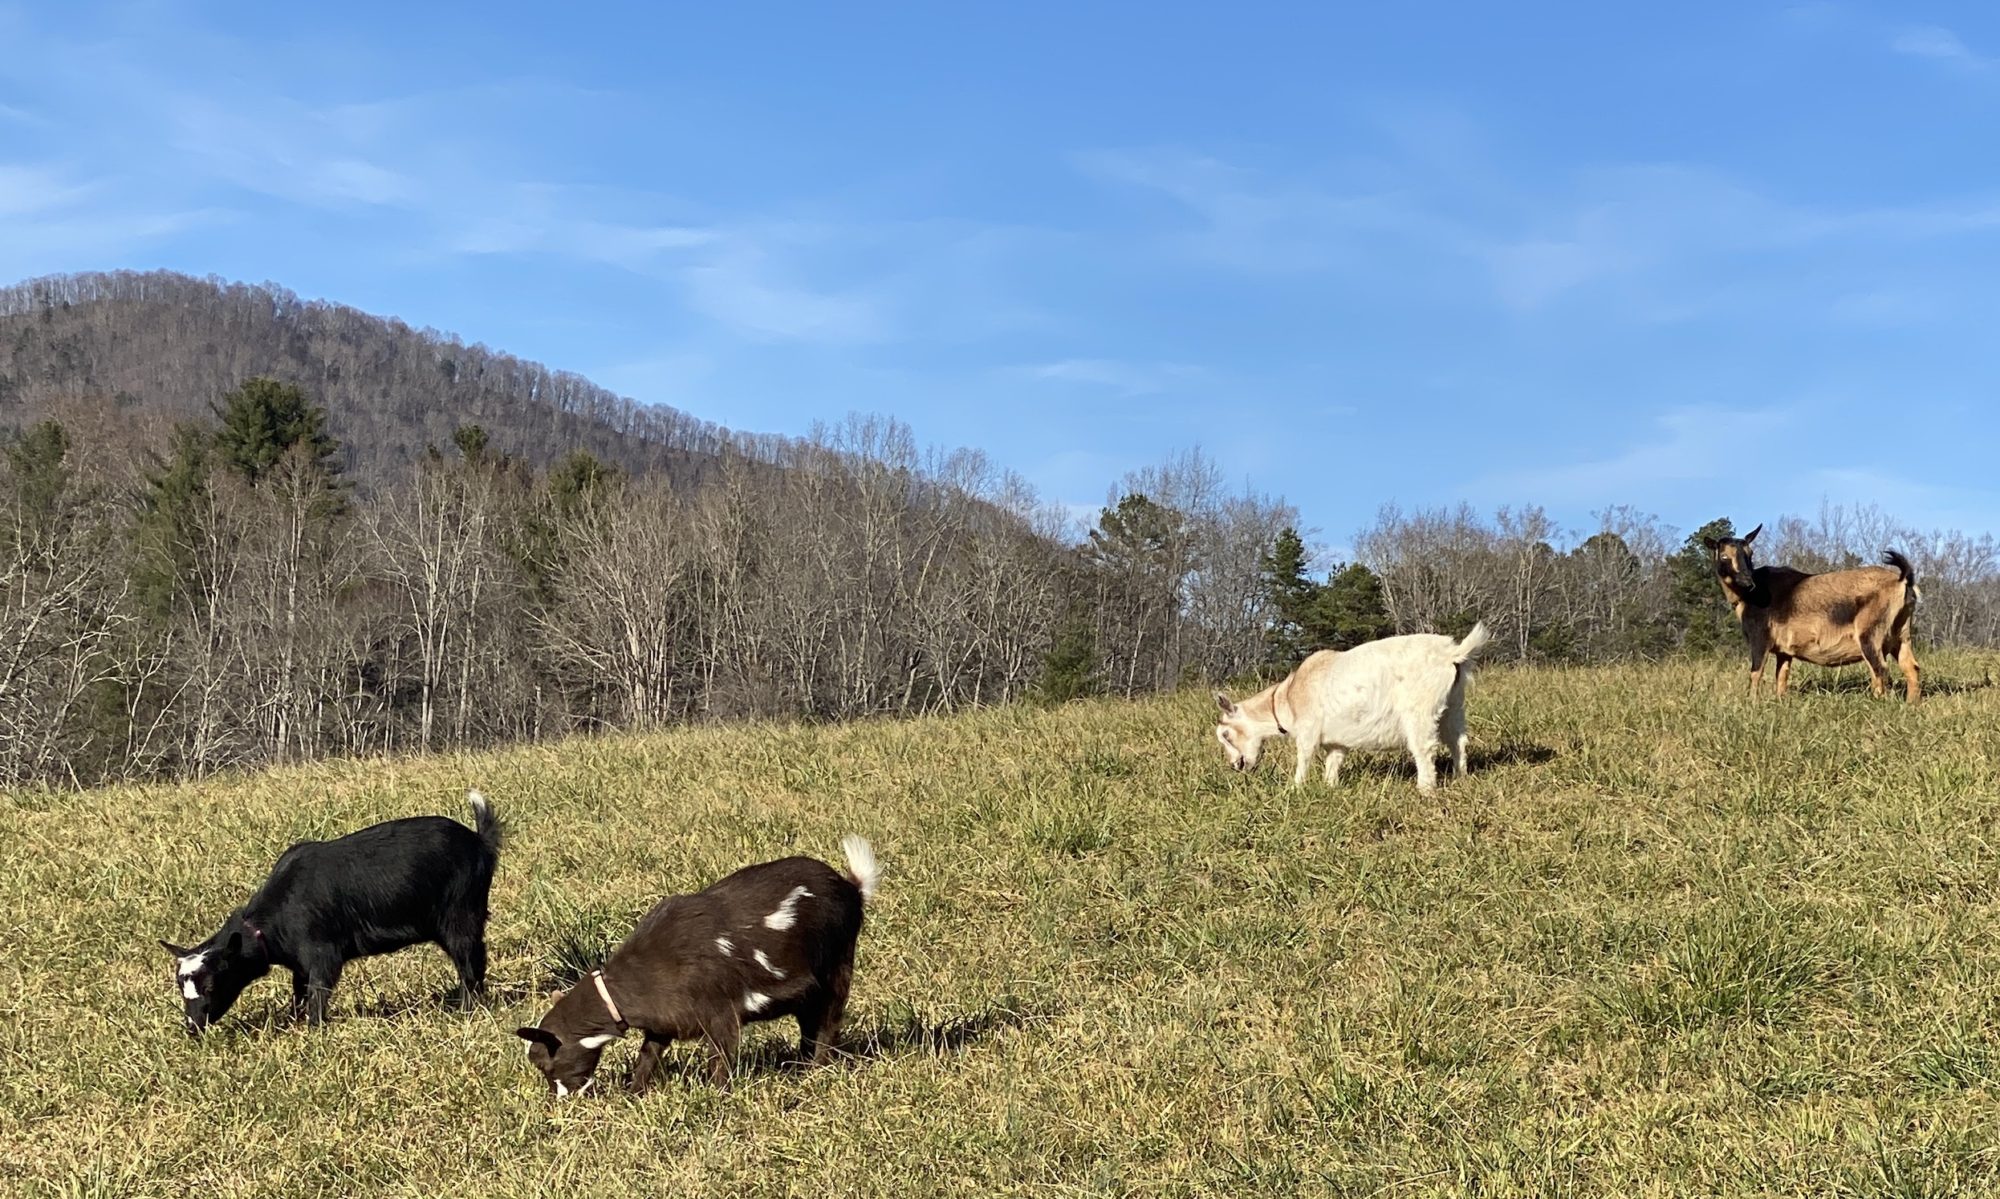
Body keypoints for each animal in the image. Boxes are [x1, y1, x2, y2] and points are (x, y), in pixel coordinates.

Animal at [160, 792, 502, 1036]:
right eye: (180, 987)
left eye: (210, 985)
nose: (192, 1028)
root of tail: (479, 841)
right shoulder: (300, 963)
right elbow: (299, 991)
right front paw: (294, 1021)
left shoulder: (322, 953)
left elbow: (318, 991)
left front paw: (315, 1029)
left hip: (461, 915)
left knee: (470, 960)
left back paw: (468, 1008)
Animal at [517, 835, 879, 1097]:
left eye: (547, 1063)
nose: (563, 1098)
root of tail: (851, 887)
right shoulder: (665, 1021)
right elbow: (648, 1054)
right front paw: (633, 1092)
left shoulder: (720, 1012)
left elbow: (720, 1058)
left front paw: (719, 1096)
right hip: (806, 991)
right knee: (809, 1024)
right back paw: (800, 1067)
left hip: (837, 967)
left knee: (828, 1022)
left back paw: (817, 1071)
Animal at [1214, 623, 1490, 793]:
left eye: (1226, 734)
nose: (1235, 765)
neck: (1288, 697)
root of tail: (1452, 653)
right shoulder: (1336, 742)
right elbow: (1333, 762)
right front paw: (1329, 787)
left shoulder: (1308, 729)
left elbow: (1304, 757)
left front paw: (1295, 787)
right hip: (1454, 704)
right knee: (1458, 741)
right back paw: (1460, 776)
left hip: (1420, 707)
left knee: (1424, 748)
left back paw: (1425, 789)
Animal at [1706, 523, 1920, 701]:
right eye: (1724, 556)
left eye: (1750, 554)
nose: (1746, 581)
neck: (1751, 595)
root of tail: (1902, 580)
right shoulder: (1784, 651)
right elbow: (1781, 676)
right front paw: (1780, 701)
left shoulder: (1760, 638)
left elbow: (1755, 673)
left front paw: (1751, 703)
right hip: (1901, 634)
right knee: (1911, 667)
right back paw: (1911, 704)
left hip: (1870, 633)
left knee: (1880, 669)